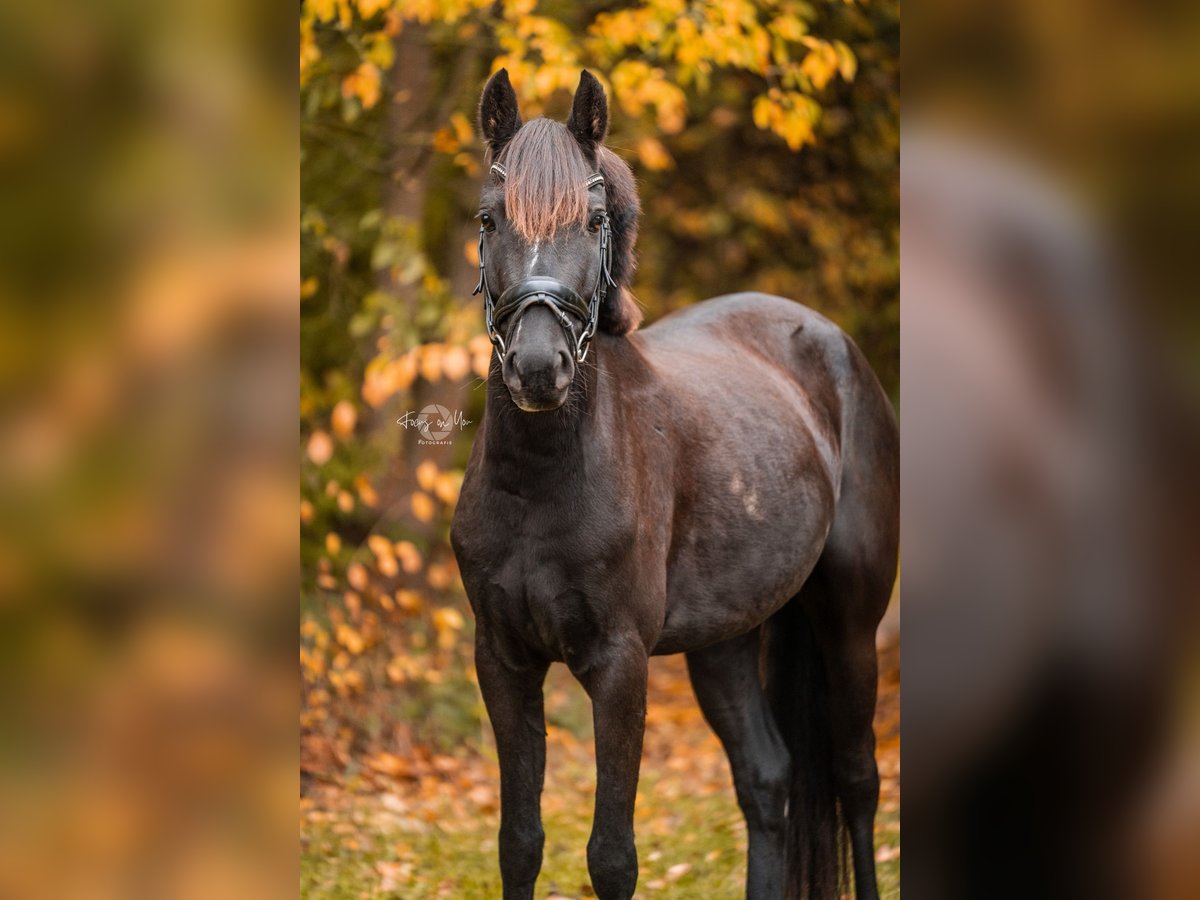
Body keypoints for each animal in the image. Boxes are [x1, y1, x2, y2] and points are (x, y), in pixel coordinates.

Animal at [450, 69, 898, 900]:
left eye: (593, 218)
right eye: (488, 218)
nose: (538, 368)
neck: (539, 486)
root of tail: (829, 340)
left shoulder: (619, 667)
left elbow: (611, 856)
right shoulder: (502, 660)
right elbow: (519, 842)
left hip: (851, 621)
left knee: (857, 783)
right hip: (726, 639)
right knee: (767, 781)